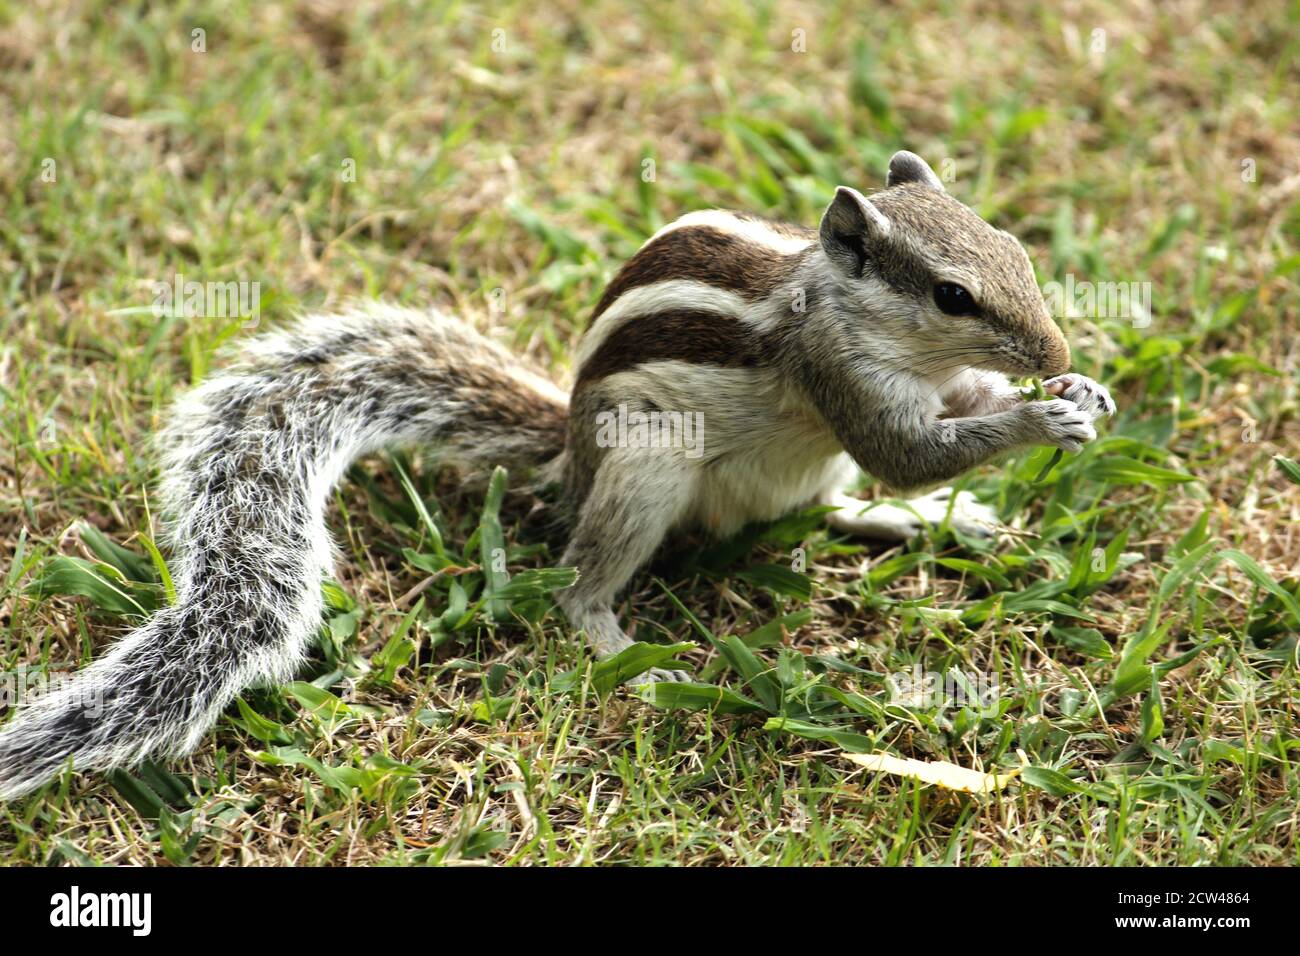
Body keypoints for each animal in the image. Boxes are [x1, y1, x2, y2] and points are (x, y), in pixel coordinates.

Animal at [0, 151, 1115, 800]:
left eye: (1015, 246)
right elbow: (907, 453)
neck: (841, 306)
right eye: (952, 293)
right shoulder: (837, 377)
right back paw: (628, 646)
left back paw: (921, 525)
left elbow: (941, 423)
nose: (1055, 343)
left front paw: (1078, 389)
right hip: (648, 467)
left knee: (835, 500)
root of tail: (571, 457)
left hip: (786, 474)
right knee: (580, 580)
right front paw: (1038, 412)